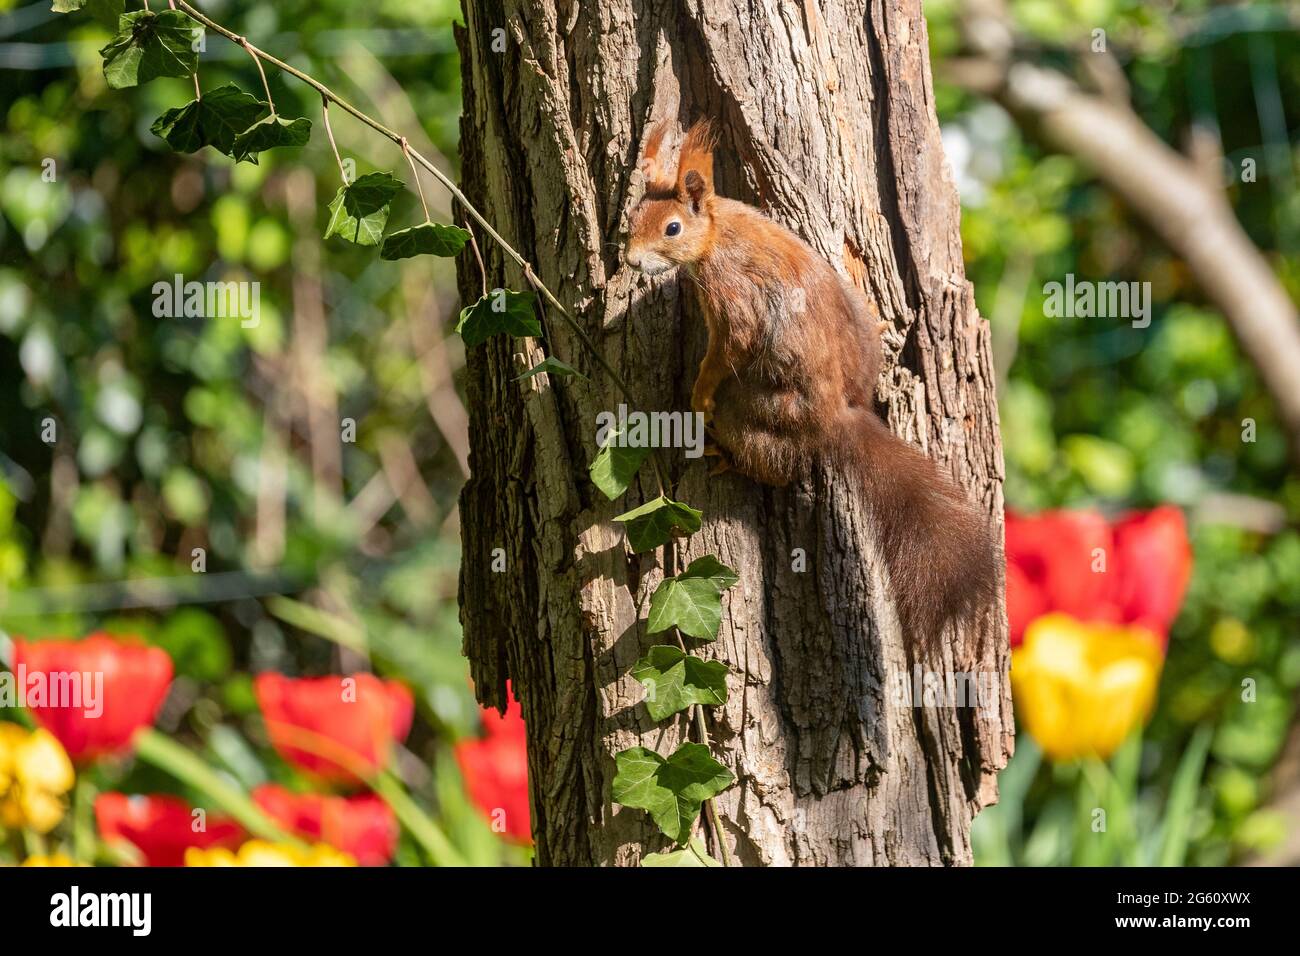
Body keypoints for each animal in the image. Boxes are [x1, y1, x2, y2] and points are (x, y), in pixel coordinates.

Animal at [623, 119, 998, 659]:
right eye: (634, 217)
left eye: (672, 228)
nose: (632, 262)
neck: (718, 232)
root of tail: (840, 415)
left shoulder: (733, 298)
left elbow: (728, 349)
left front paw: (698, 393)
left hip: (761, 411)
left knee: (774, 463)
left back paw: (727, 455)